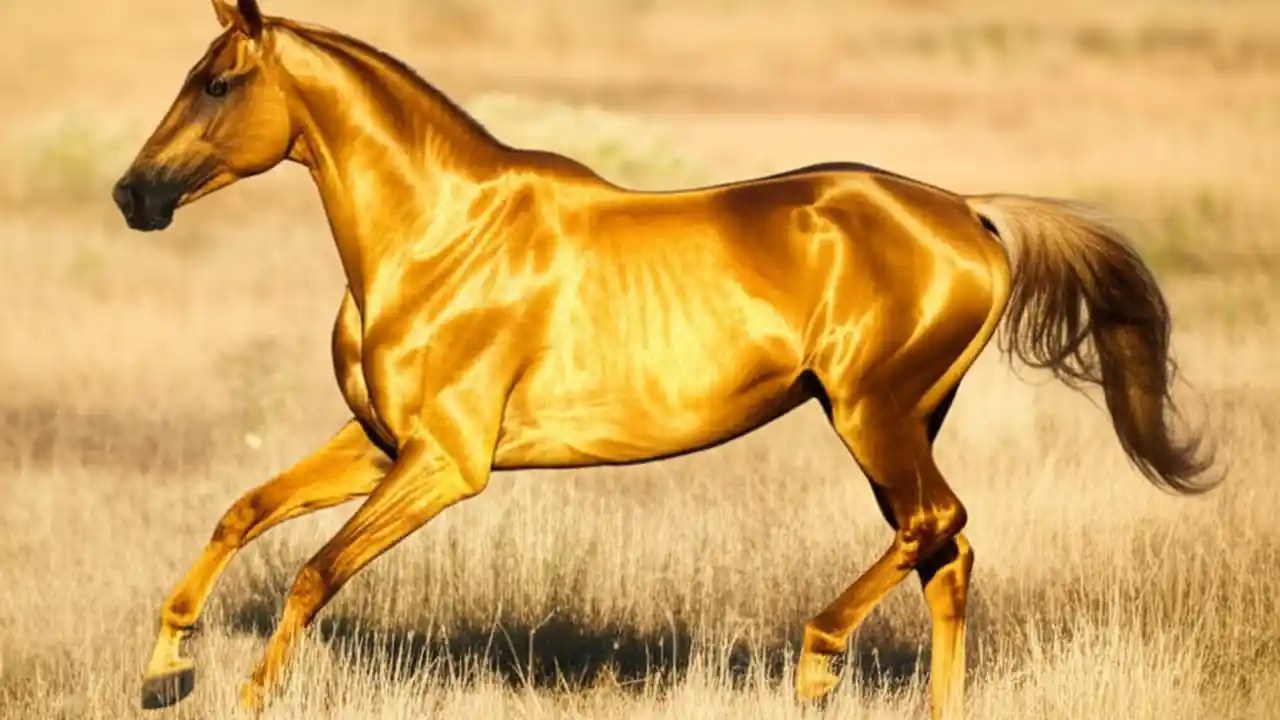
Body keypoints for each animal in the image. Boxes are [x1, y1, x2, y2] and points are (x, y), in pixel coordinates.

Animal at [111, 1, 1218, 717]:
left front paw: (243, 692)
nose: (133, 196)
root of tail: (972, 214)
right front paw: (164, 669)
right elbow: (243, 512)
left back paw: (817, 661)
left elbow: (312, 571)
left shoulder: (446, 464)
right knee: (944, 556)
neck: (439, 238)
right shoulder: (380, 442)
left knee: (935, 526)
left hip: (872, 412)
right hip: (895, 422)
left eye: (217, 84)